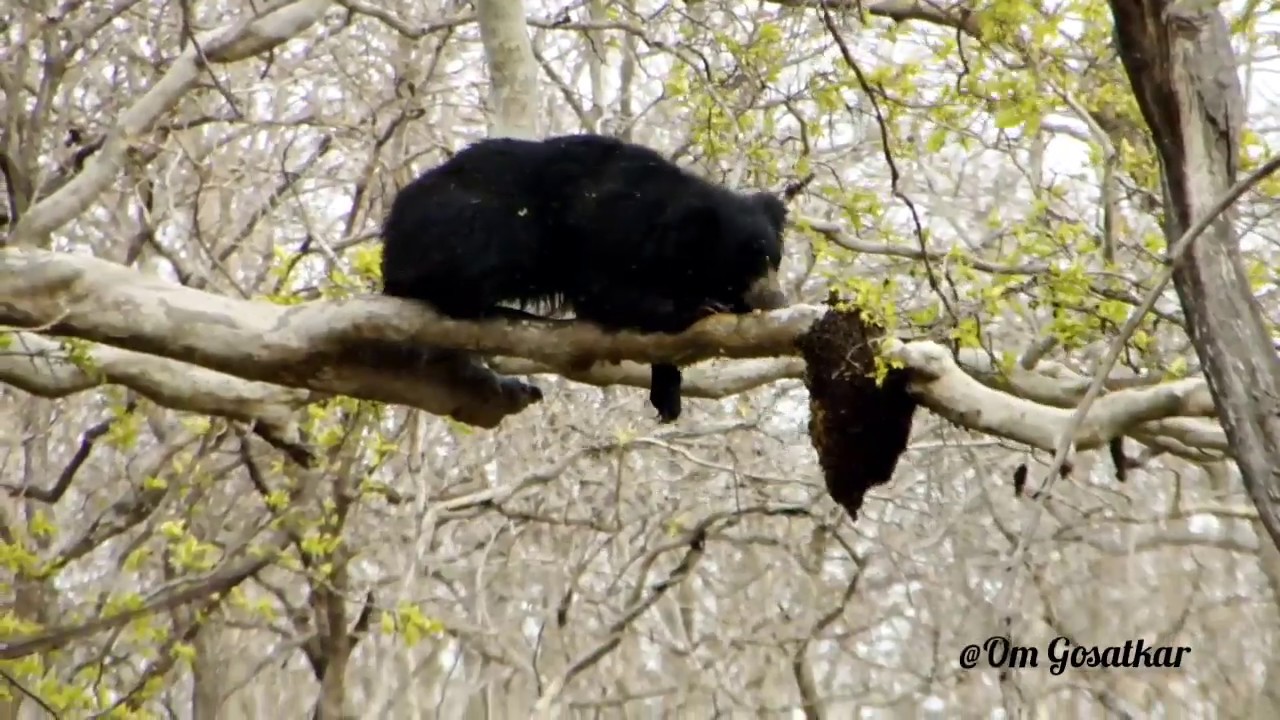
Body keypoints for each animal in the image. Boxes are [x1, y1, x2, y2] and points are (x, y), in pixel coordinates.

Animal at [380, 133, 789, 423]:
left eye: (773, 261)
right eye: (746, 267)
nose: (778, 299)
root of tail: (391, 234)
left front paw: (667, 393)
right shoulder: (600, 238)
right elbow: (605, 294)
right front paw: (697, 309)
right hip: (482, 226)